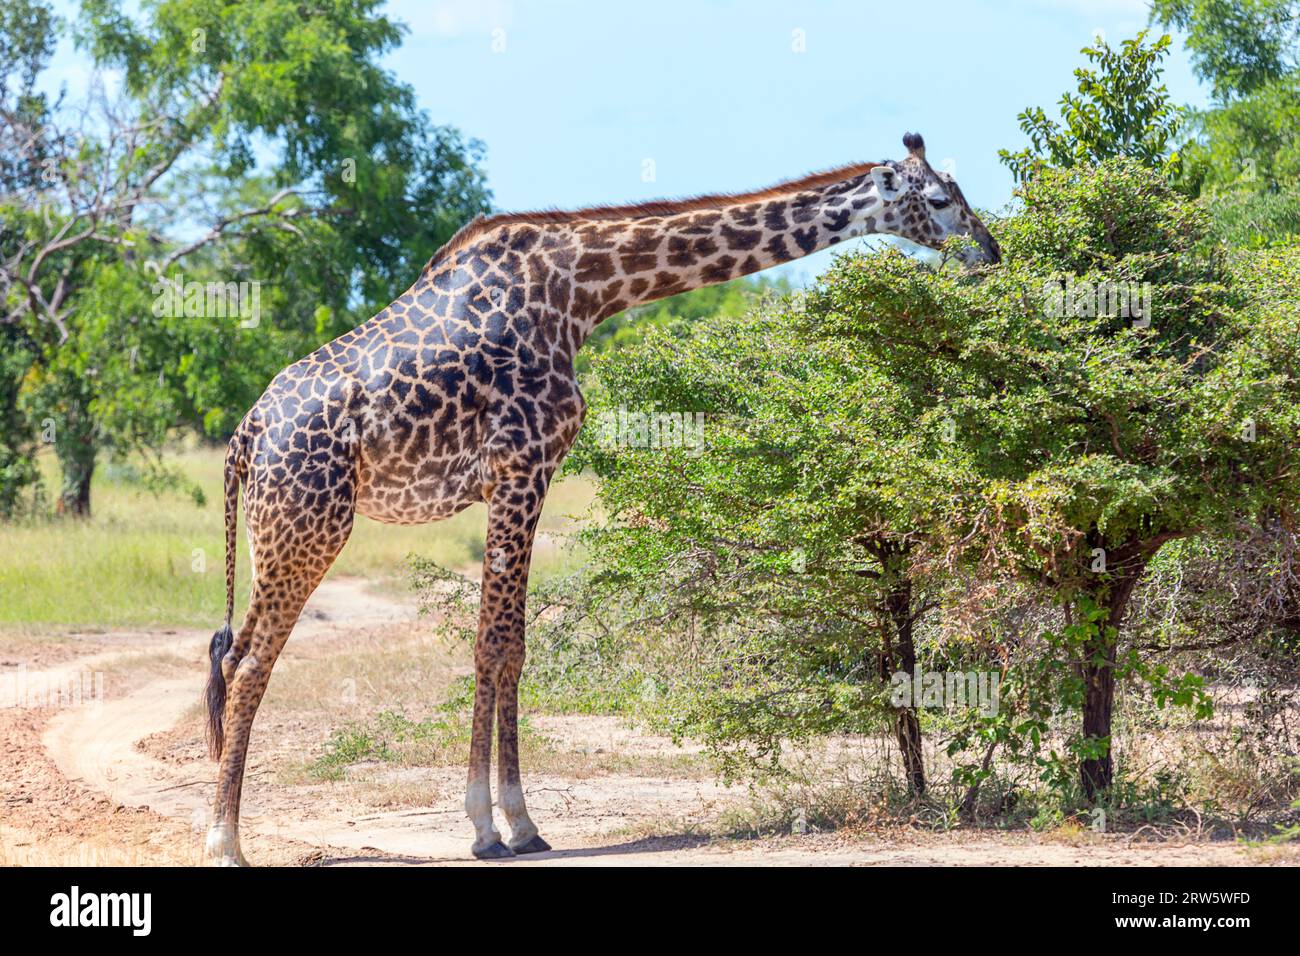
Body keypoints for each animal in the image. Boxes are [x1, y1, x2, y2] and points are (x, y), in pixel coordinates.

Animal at [201, 132, 999, 864]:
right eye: (938, 199)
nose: (989, 252)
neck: (583, 292)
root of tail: (245, 438)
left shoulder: (526, 475)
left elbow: (513, 645)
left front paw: (520, 824)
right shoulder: (520, 465)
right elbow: (495, 646)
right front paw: (490, 828)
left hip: (280, 531)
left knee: (230, 657)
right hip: (309, 525)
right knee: (248, 663)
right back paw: (224, 842)